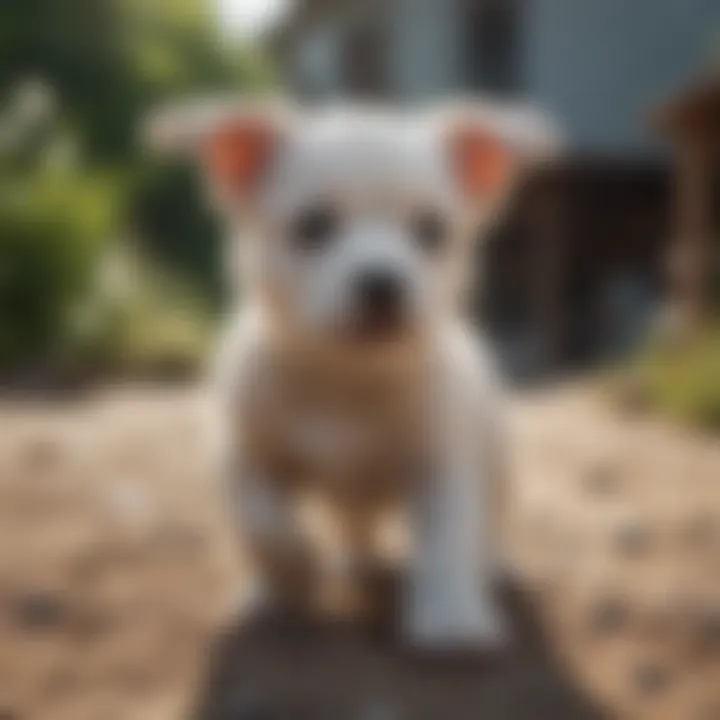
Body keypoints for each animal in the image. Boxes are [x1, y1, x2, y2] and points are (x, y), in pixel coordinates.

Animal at [149, 102, 556, 652]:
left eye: (432, 229)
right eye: (313, 226)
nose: (382, 283)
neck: (345, 375)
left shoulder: (443, 468)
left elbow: (448, 539)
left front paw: (450, 618)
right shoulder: (243, 453)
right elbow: (263, 521)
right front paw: (291, 576)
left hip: (495, 466)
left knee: (484, 526)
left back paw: (487, 568)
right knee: (351, 525)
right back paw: (317, 575)